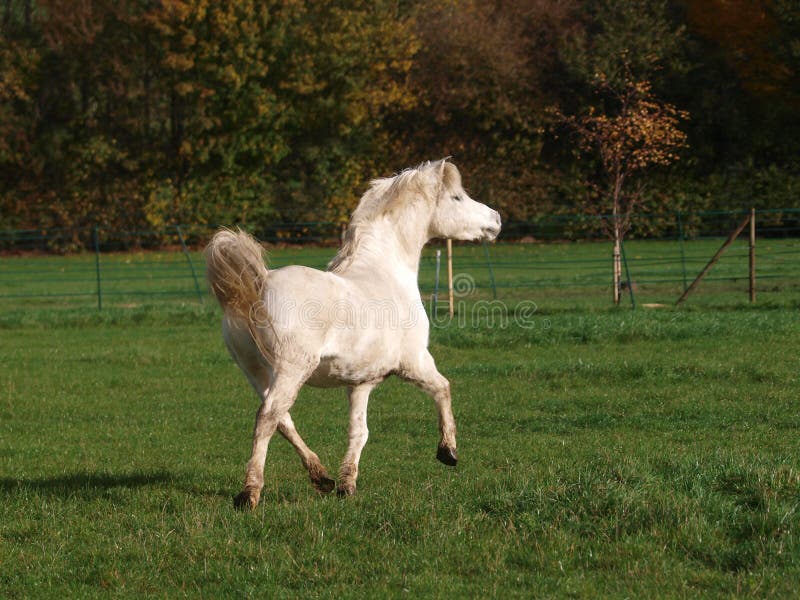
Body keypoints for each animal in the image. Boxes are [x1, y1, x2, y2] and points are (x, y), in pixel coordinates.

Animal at [205, 159, 502, 509]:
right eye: (457, 197)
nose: (496, 220)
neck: (386, 271)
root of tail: (259, 283)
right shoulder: (415, 362)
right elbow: (444, 389)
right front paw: (448, 452)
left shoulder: (362, 382)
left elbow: (359, 431)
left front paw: (347, 484)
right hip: (291, 370)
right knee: (267, 418)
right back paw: (250, 493)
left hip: (257, 372)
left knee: (282, 420)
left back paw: (321, 477)